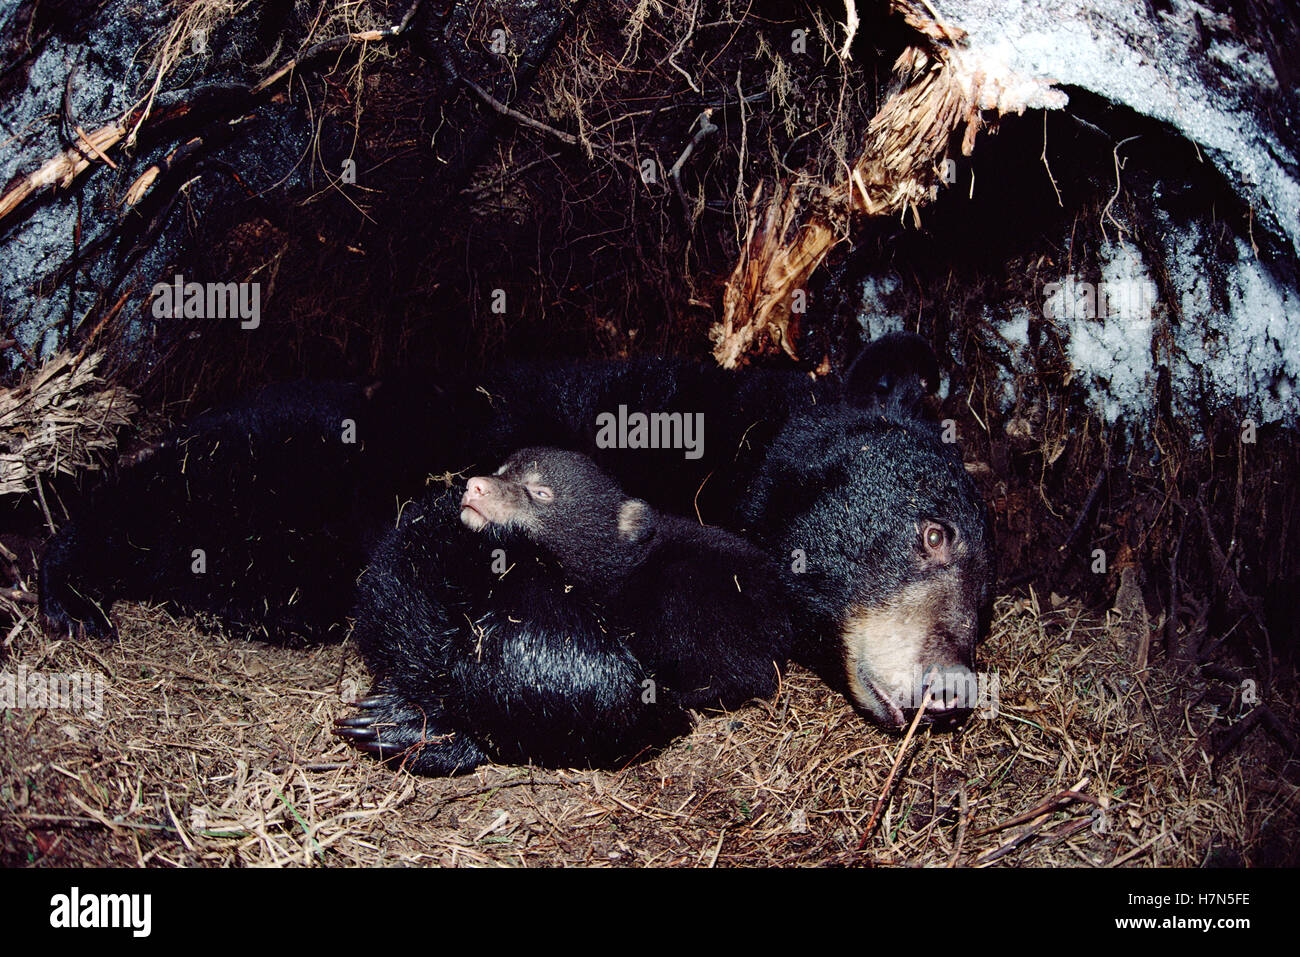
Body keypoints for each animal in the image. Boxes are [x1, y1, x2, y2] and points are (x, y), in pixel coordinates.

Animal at [38, 332, 994, 741]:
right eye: (933, 531)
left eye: (987, 607)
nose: (951, 689)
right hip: (271, 448)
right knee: (141, 495)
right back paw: (69, 588)